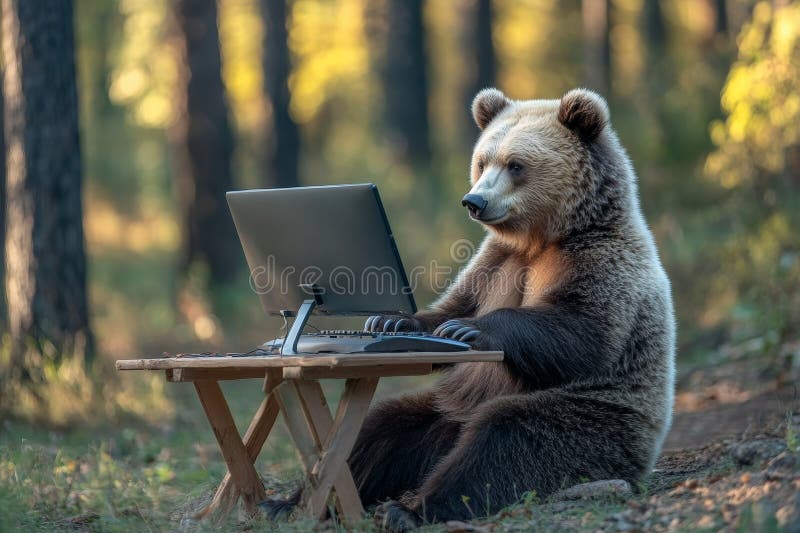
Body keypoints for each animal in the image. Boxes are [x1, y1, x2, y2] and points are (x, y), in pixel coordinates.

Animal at [351, 87, 676, 531]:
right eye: (482, 161)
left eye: (516, 164)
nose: (474, 200)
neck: (542, 239)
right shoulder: (493, 264)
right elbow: (452, 305)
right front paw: (392, 320)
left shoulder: (600, 261)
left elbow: (584, 331)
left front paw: (467, 330)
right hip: (445, 410)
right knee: (384, 431)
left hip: (597, 418)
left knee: (506, 440)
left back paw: (411, 508)